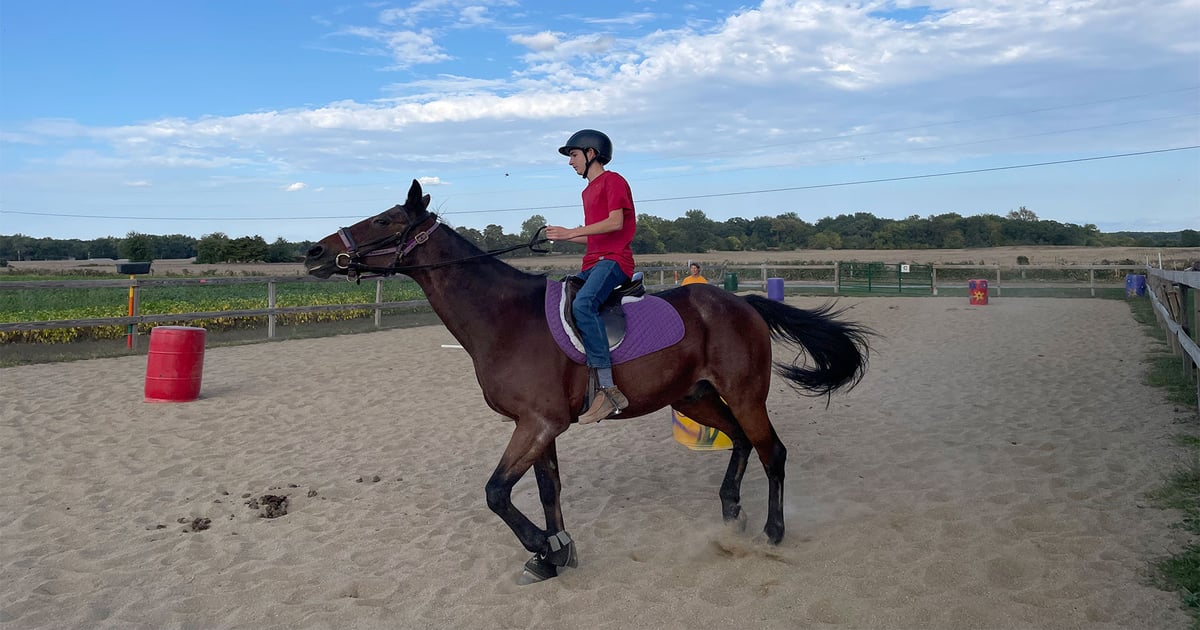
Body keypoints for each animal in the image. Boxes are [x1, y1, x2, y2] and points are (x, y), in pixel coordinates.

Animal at [304, 179, 872, 583]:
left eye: (385, 219)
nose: (313, 253)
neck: (505, 318)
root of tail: (742, 303)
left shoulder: (537, 423)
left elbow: (495, 493)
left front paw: (541, 546)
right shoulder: (538, 426)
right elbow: (546, 489)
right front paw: (555, 554)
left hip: (745, 393)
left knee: (772, 451)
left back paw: (773, 532)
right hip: (695, 398)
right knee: (739, 441)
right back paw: (732, 512)